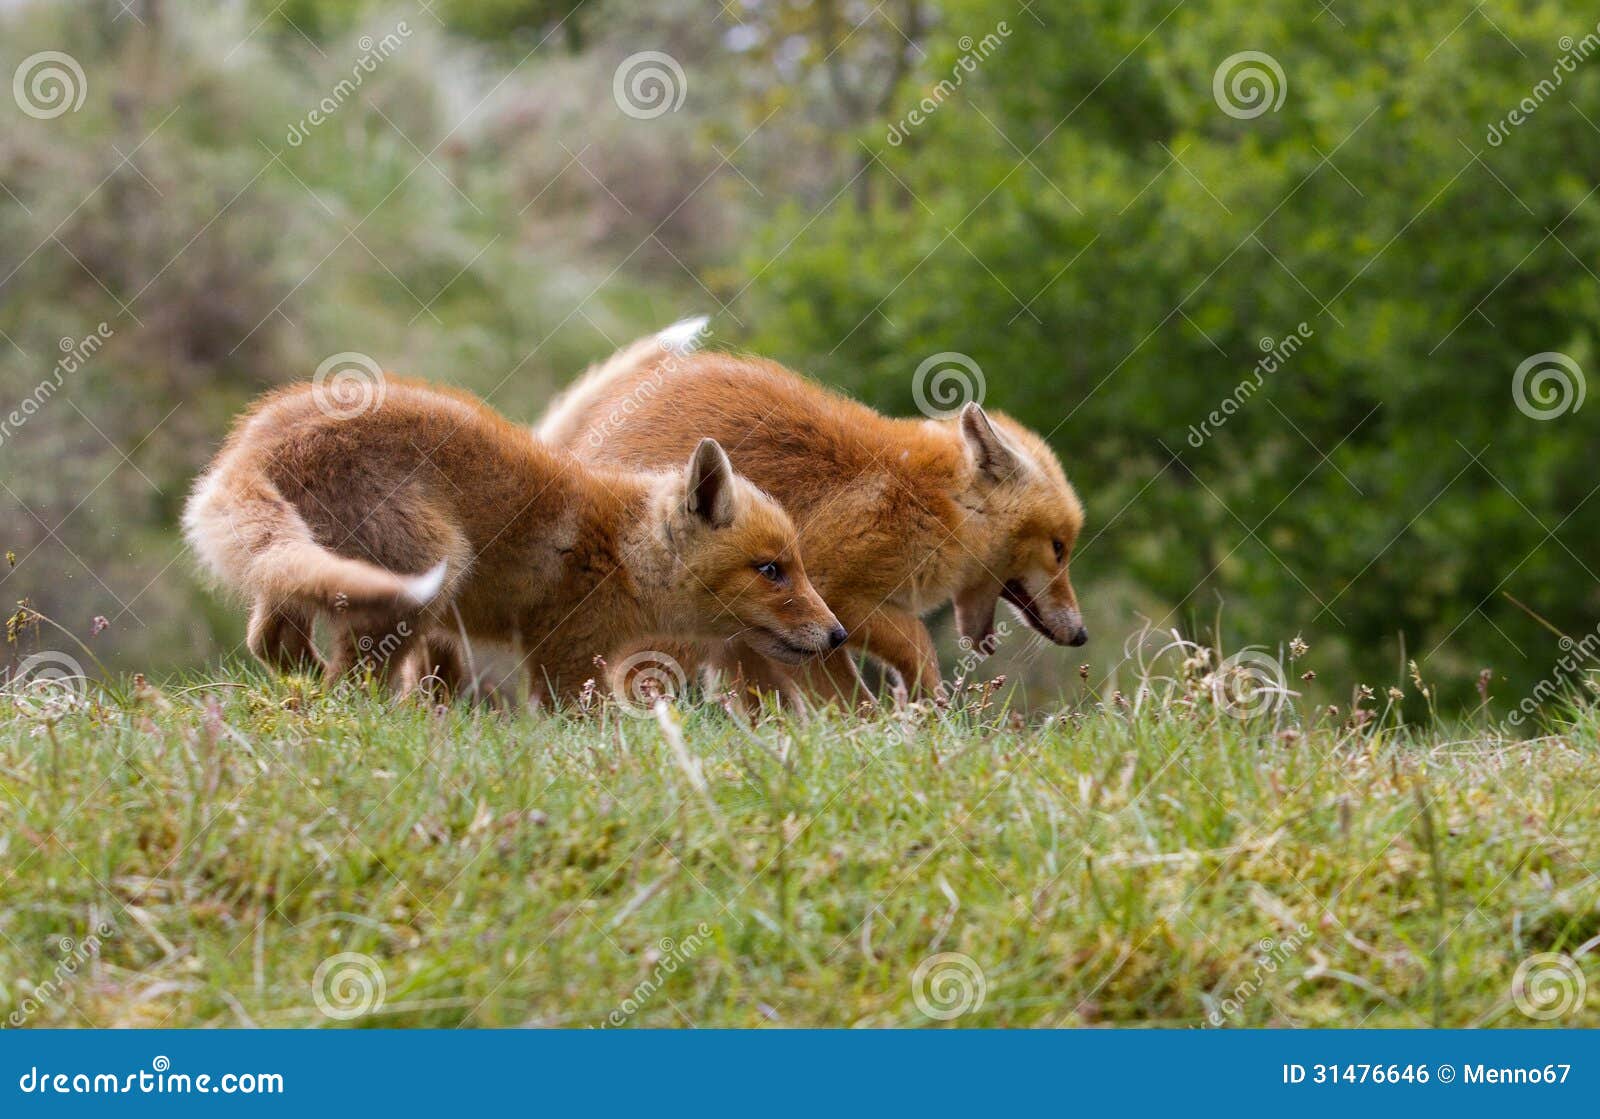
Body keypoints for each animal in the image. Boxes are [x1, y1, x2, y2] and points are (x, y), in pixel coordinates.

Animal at [183, 377, 845, 704]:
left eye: (797, 566)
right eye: (771, 570)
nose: (838, 634)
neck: (623, 553)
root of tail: (261, 438)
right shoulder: (564, 658)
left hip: (297, 575)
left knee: (272, 642)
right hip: (432, 569)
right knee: (348, 682)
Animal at [537, 320, 1087, 708]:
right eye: (1059, 549)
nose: (1081, 636)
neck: (929, 505)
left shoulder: (802, 630)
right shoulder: (828, 599)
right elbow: (905, 658)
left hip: (731, 643)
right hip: (681, 630)